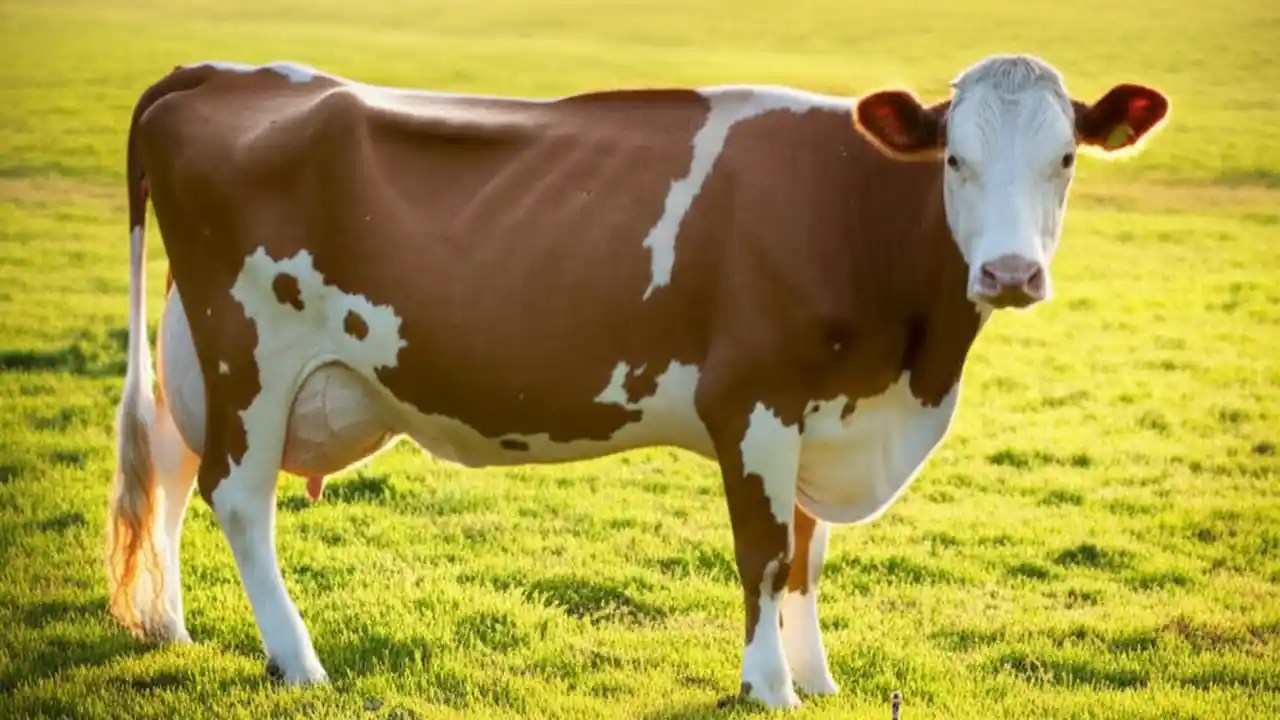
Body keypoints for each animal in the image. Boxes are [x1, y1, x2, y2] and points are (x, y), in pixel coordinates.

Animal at [106, 54, 1167, 709]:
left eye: (1065, 158)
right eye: (954, 156)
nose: (1009, 273)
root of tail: (219, 73)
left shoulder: (824, 408)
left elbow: (810, 553)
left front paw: (819, 679)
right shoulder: (754, 401)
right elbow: (767, 554)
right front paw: (769, 687)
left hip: (203, 355)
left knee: (171, 463)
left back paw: (169, 629)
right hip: (251, 350)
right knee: (239, 498)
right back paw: (298, 661)